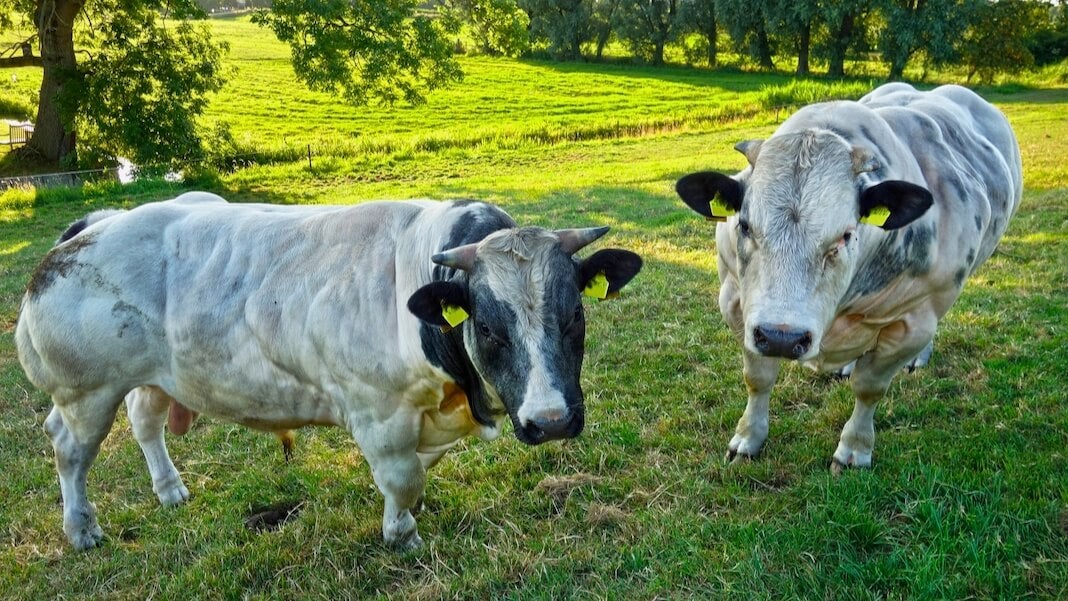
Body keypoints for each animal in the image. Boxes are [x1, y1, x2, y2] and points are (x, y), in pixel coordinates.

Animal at [16, 192, 642, 550]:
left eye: (575, 312)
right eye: (487, 326)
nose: (551, 420)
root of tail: (92, 226)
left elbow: (416, 473)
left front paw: (406, 515)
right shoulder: (378, 412)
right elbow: (402, 477)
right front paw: (402, 534)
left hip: (153, 376)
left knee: (145, 421)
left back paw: (170, 490)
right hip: (84, 392)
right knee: (69, 450)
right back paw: (82, 529)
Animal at [675, 83, 1021, 472]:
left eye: (845, 235)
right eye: (745, 225)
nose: (783, 337)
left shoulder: (914, 320)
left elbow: (869, 388)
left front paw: (854, 449)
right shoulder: (737, 304)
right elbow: (758, 379)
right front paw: (748, 439)